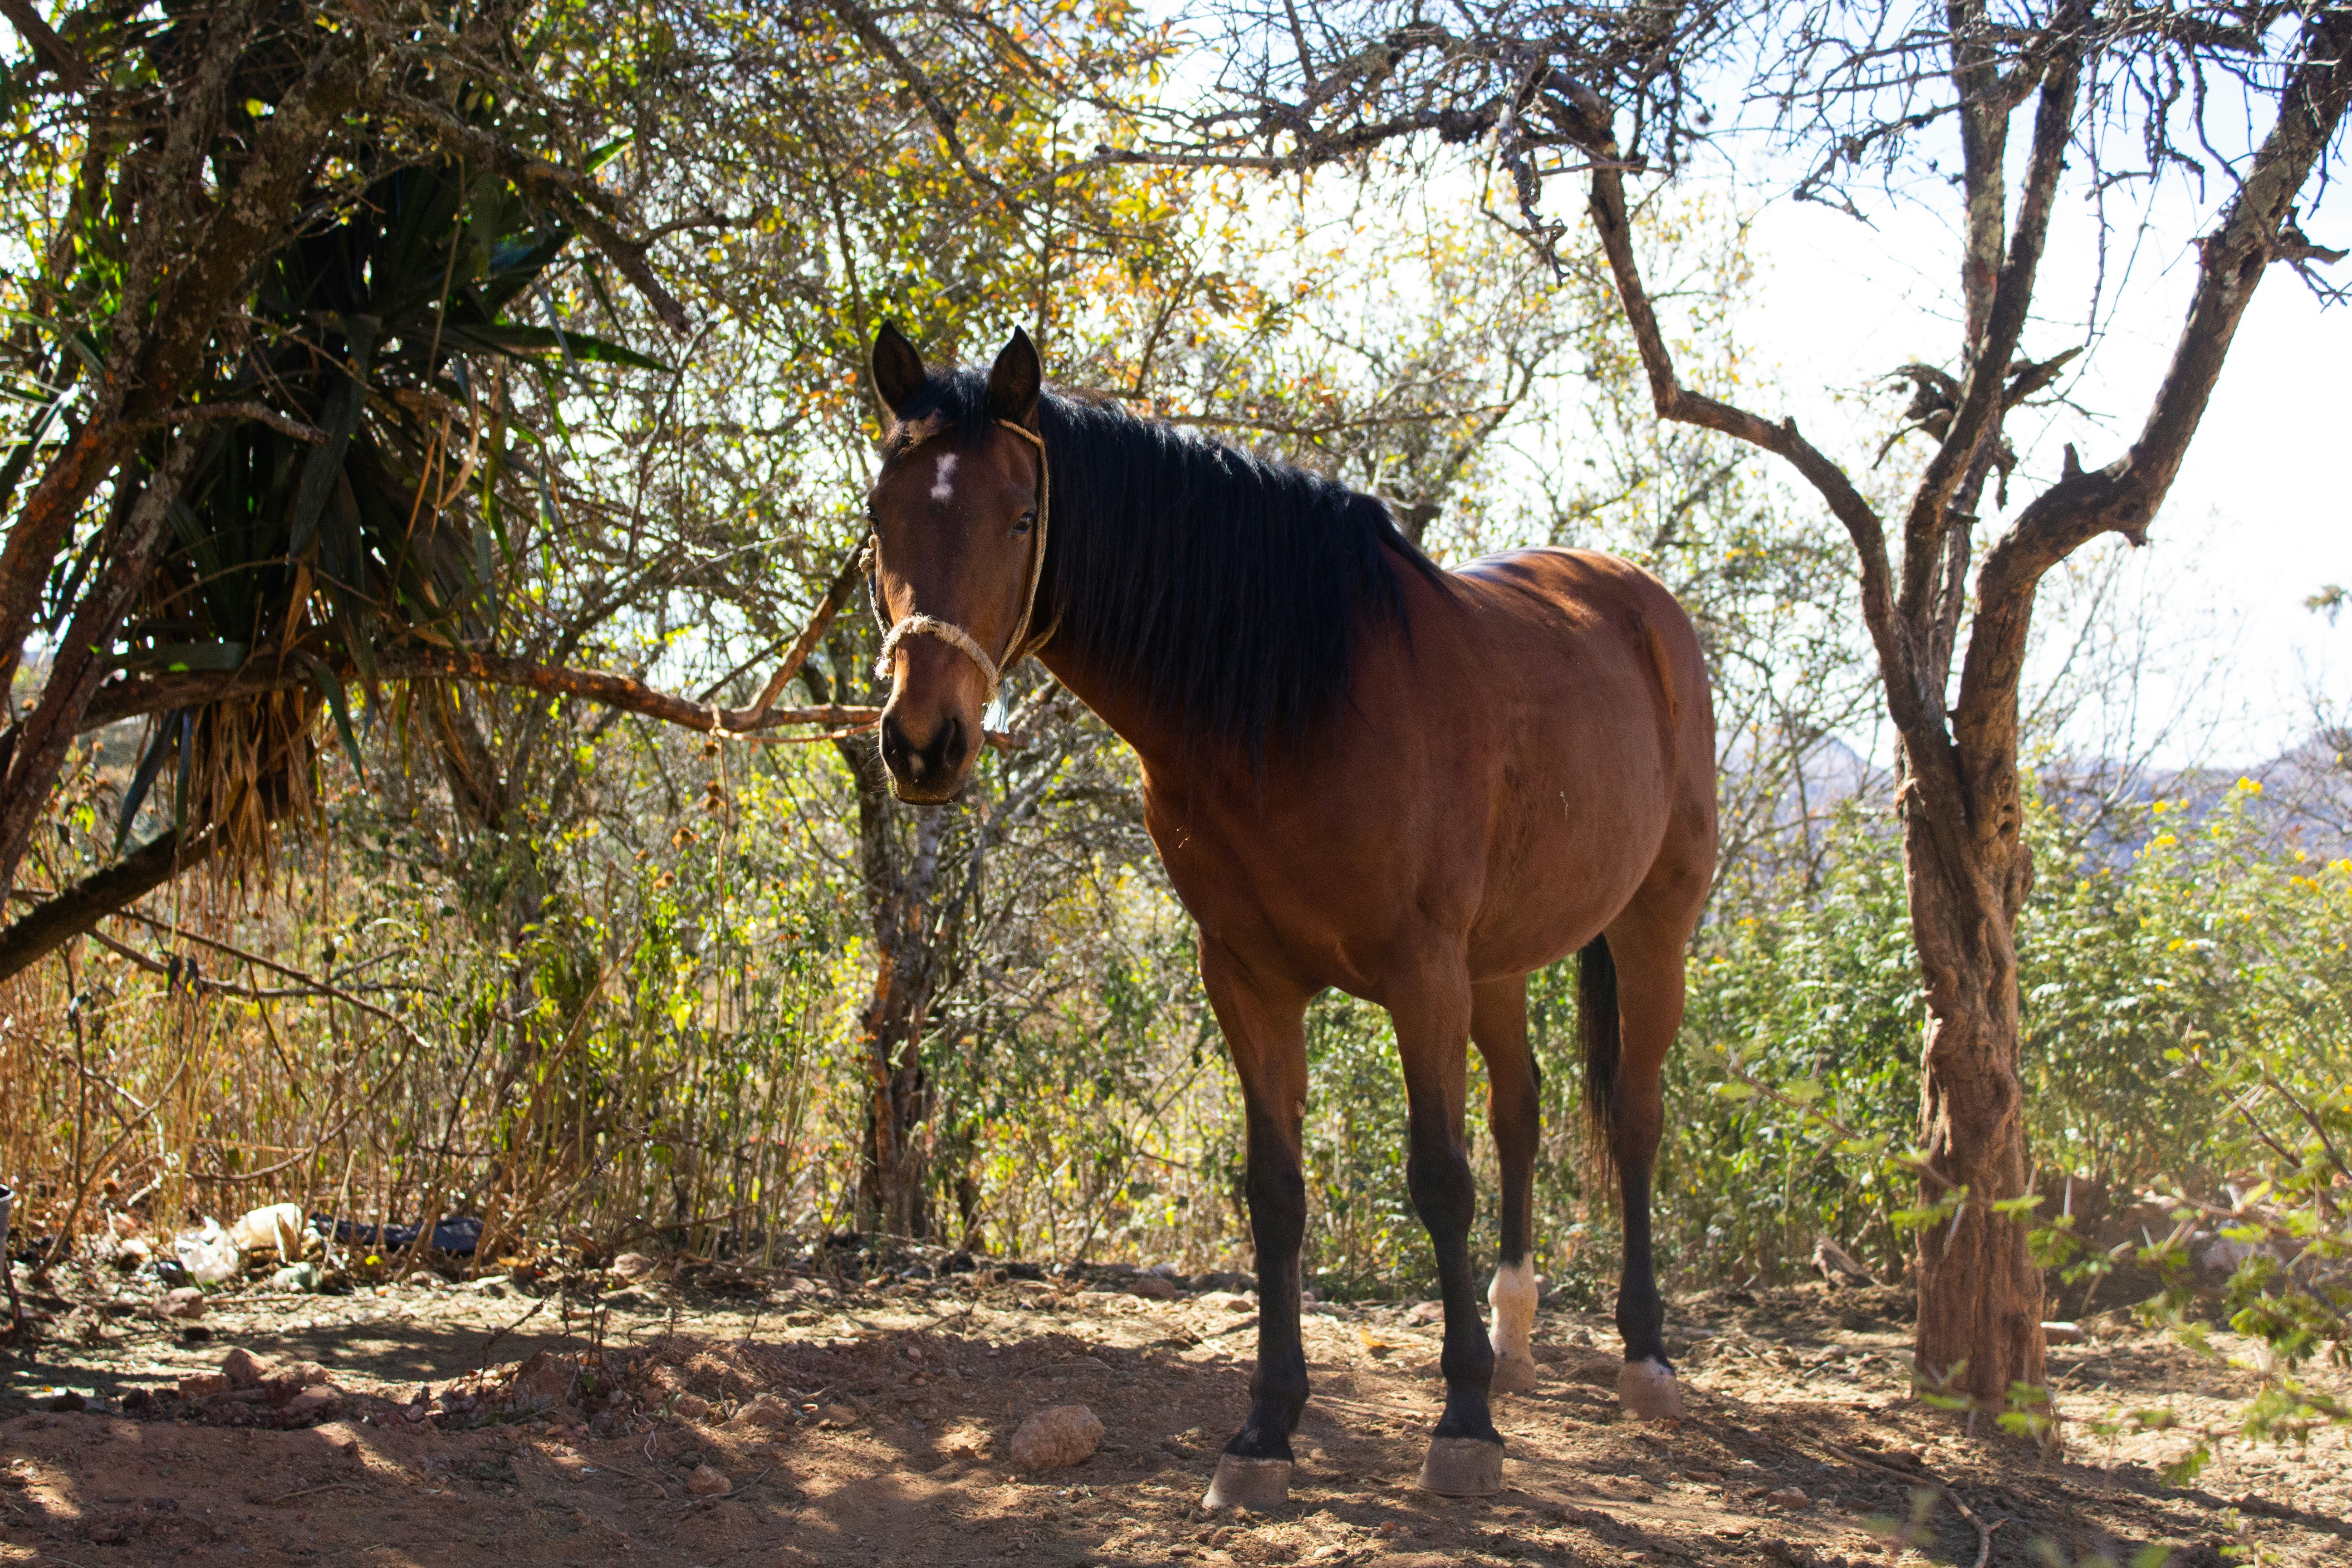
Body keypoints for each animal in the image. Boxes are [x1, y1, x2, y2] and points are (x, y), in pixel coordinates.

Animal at [859, 324, 1717, 1507]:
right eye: (877, 514)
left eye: (1021, 518)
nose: (921, 743)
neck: (1290, 700)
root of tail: (1640, 602)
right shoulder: (1248, 975)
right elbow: (1274, 1192)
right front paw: (1265, 1428)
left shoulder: (1419, 972)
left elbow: (1436, 1177)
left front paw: (1462, 1424)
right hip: (1497, 961)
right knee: (1524, 1111)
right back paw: (1515, 1340)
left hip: (1649, 924)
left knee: (1632, 1115)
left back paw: (1643, 1356)